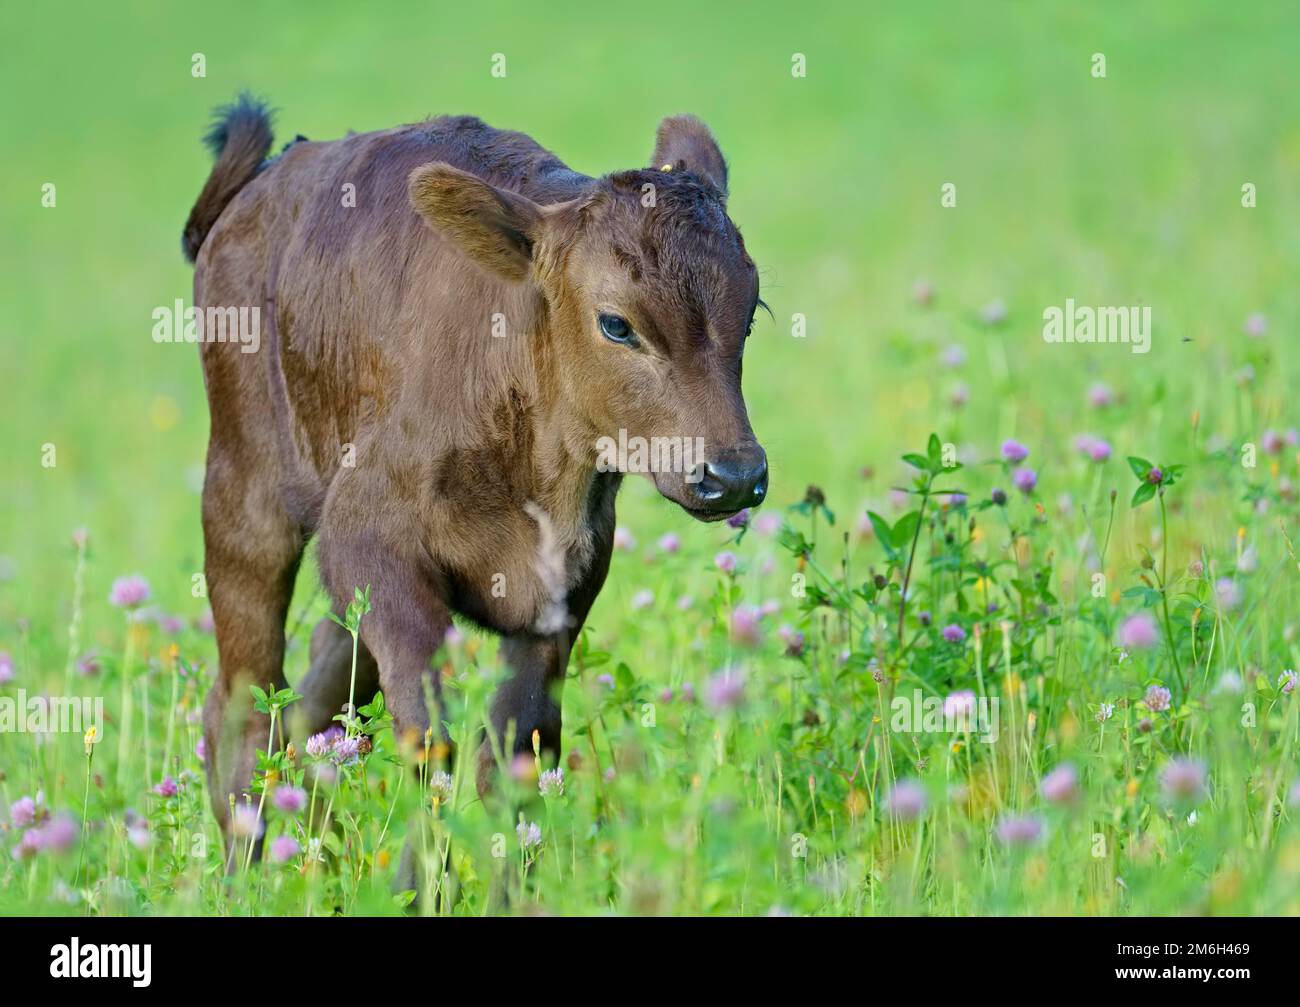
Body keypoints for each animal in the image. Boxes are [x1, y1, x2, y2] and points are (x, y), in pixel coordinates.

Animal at [183, 95, 768, 858]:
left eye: (750, 313)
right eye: (617, 323)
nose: (733, 475)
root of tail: (251, 195)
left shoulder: (562, 593)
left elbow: (516, 756)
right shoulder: (370, 545)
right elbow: (429, 740)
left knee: (315, 691)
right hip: (246, 501)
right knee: (244, 699)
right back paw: (252, 861)